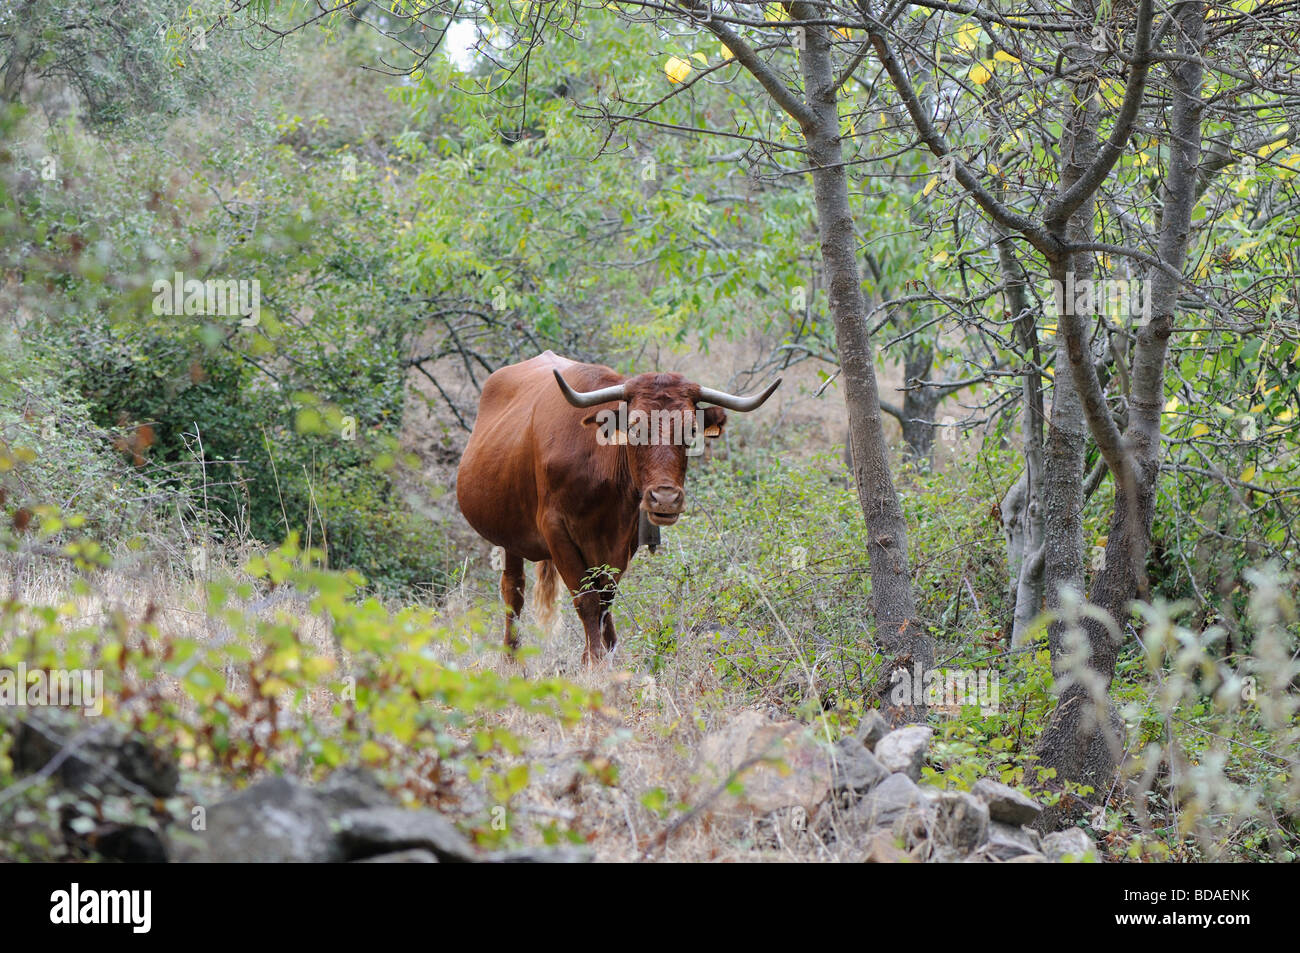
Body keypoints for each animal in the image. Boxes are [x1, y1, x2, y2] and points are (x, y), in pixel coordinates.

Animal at [456, 351, 780, 665]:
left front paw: (608, 652)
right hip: (507, 536)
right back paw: (511, 658)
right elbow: (586, 598)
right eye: (634, 427)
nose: (665, 498)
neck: (598, 467)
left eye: (690, 430)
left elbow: (606, 595)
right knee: (513, 590)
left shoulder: (625, 535)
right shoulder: (556, 530)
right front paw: (595, 660)